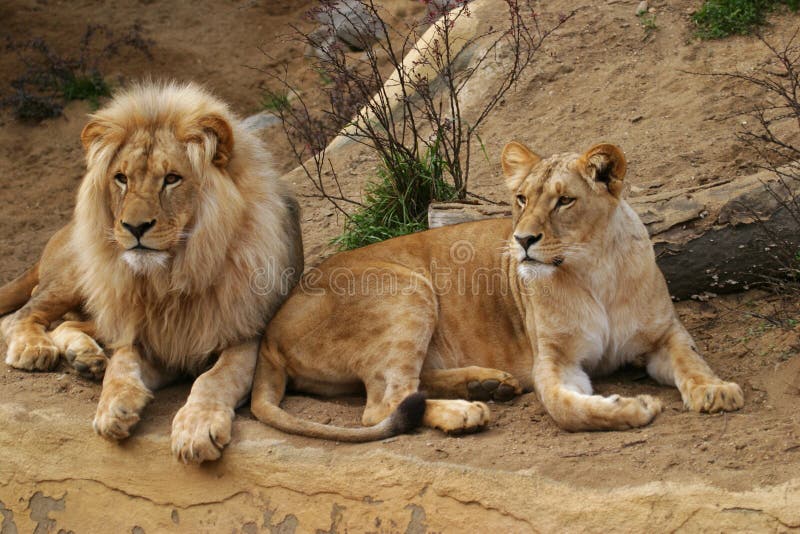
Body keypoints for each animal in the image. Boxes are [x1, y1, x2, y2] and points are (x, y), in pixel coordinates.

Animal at [0, 81, 303, 462]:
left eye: (171, 179)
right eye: (121, 179)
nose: (134, 227)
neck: (170, 278)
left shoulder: (248, 336)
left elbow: (215, 378)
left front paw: (196, 427)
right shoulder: (144, 335)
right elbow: (122, 363)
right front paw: (113, 407)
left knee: (66, 324)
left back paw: (85, 358)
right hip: (76, 276)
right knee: (20, 315)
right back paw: (37, 348)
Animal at [249, 141, 744, 441]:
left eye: (564, 201)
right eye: (521, 199)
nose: (523, 240)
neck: (593, 269)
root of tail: (269, 330)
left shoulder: (664, 333)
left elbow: (691, 361)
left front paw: (715, 392)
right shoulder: (555, 360)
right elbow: (566, 408)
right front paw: (632, 407)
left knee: (403, 389)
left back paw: (489, 384)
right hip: (406, 289)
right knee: (382, 406)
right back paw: (464, 411)